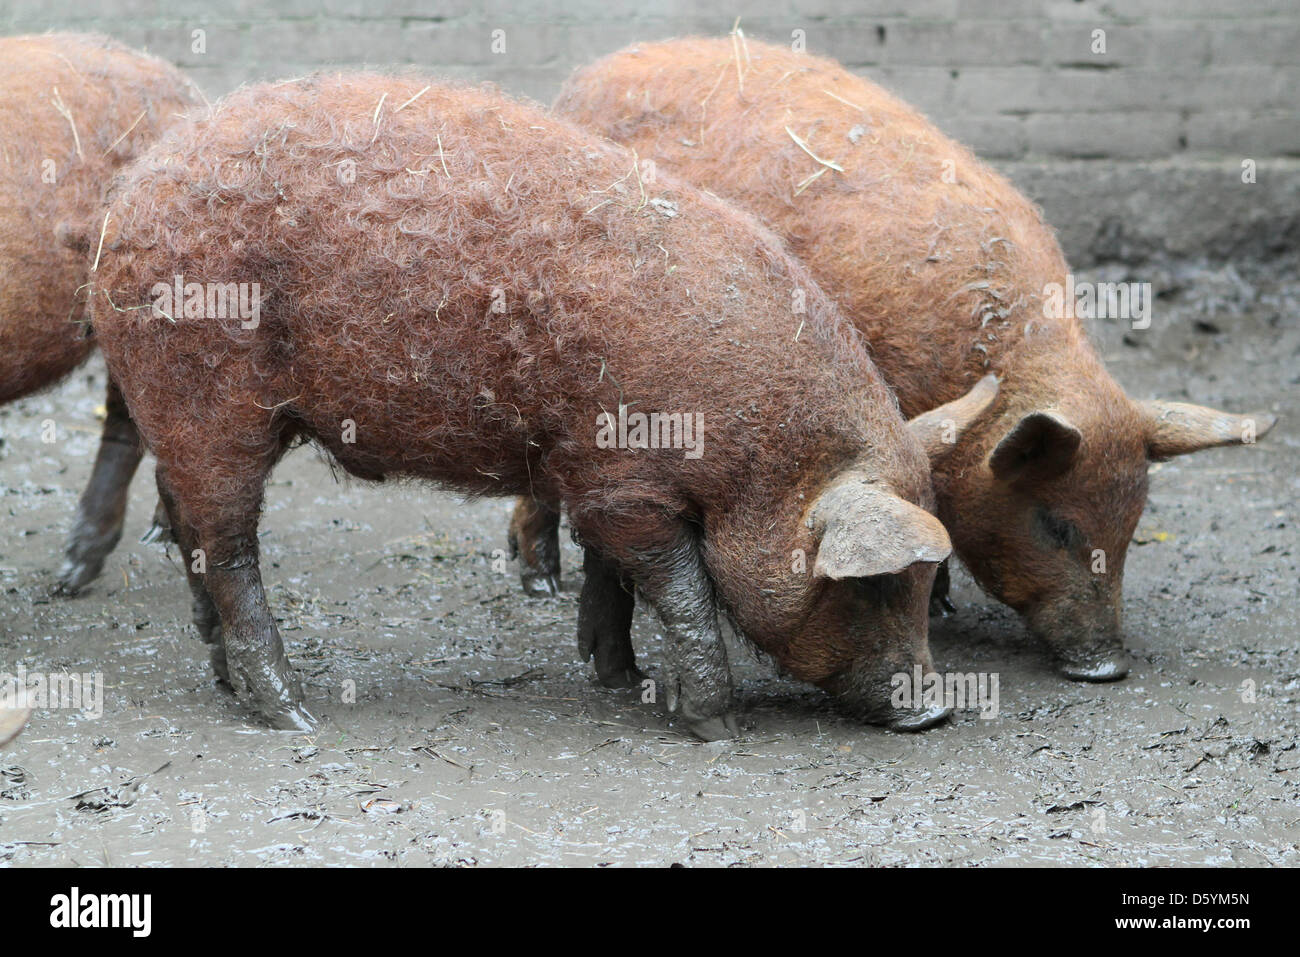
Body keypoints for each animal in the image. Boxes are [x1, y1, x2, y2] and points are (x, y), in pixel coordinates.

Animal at [87, 73, 999, 739]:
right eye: (875, 585)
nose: (933, 711)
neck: (756, 457)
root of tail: (123, 202)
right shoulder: (630, 484)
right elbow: (681, 588)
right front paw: (712, 726)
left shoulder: (592, 471)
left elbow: (611, 574)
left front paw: (619, 678)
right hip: (207, 401)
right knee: (230, 545)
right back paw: (293, 713)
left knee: (192, 530)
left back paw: (223, 677)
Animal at [523, 36, 1279, 683]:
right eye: (1056, 522)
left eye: (1133, 527)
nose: (1109, 667)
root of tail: (596, 69)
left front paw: (939, 598)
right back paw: (539, 582)